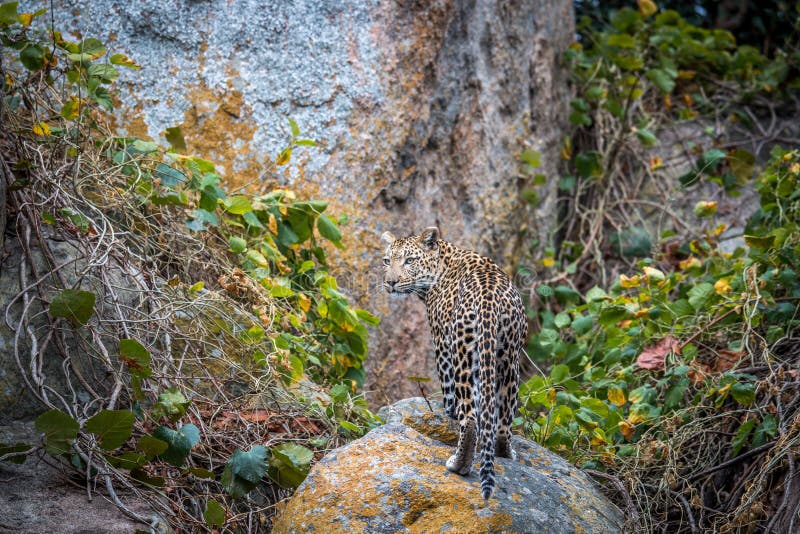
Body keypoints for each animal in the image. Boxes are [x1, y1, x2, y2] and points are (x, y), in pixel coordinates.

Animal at [381, 226, 526, 500]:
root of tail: (489, 299)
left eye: (409, 260)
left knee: (470, 420)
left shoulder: (440, 340)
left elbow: (447, 388)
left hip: (463, 352)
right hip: (509, 358)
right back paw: (504, 452)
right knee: (503, 417)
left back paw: (458, 464)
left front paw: (447, 410)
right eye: (386, 261)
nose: (390, 282)